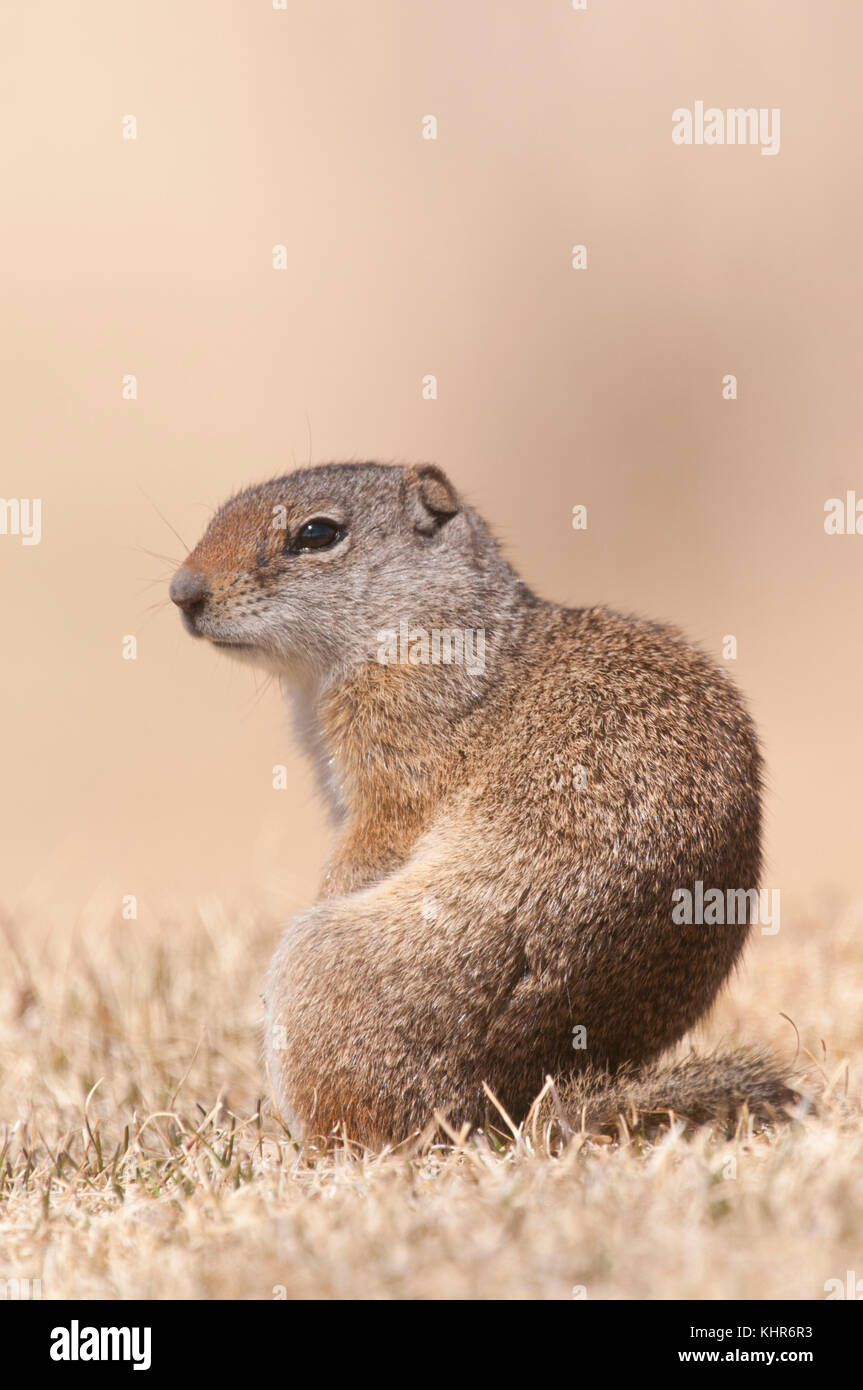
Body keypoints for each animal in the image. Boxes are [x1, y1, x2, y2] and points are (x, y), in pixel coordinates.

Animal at [169, 461, 797, 1144]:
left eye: (316, 533)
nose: (182, 591)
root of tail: (509, 1110)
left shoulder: (400, 757)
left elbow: (371, 844)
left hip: (318, 970)